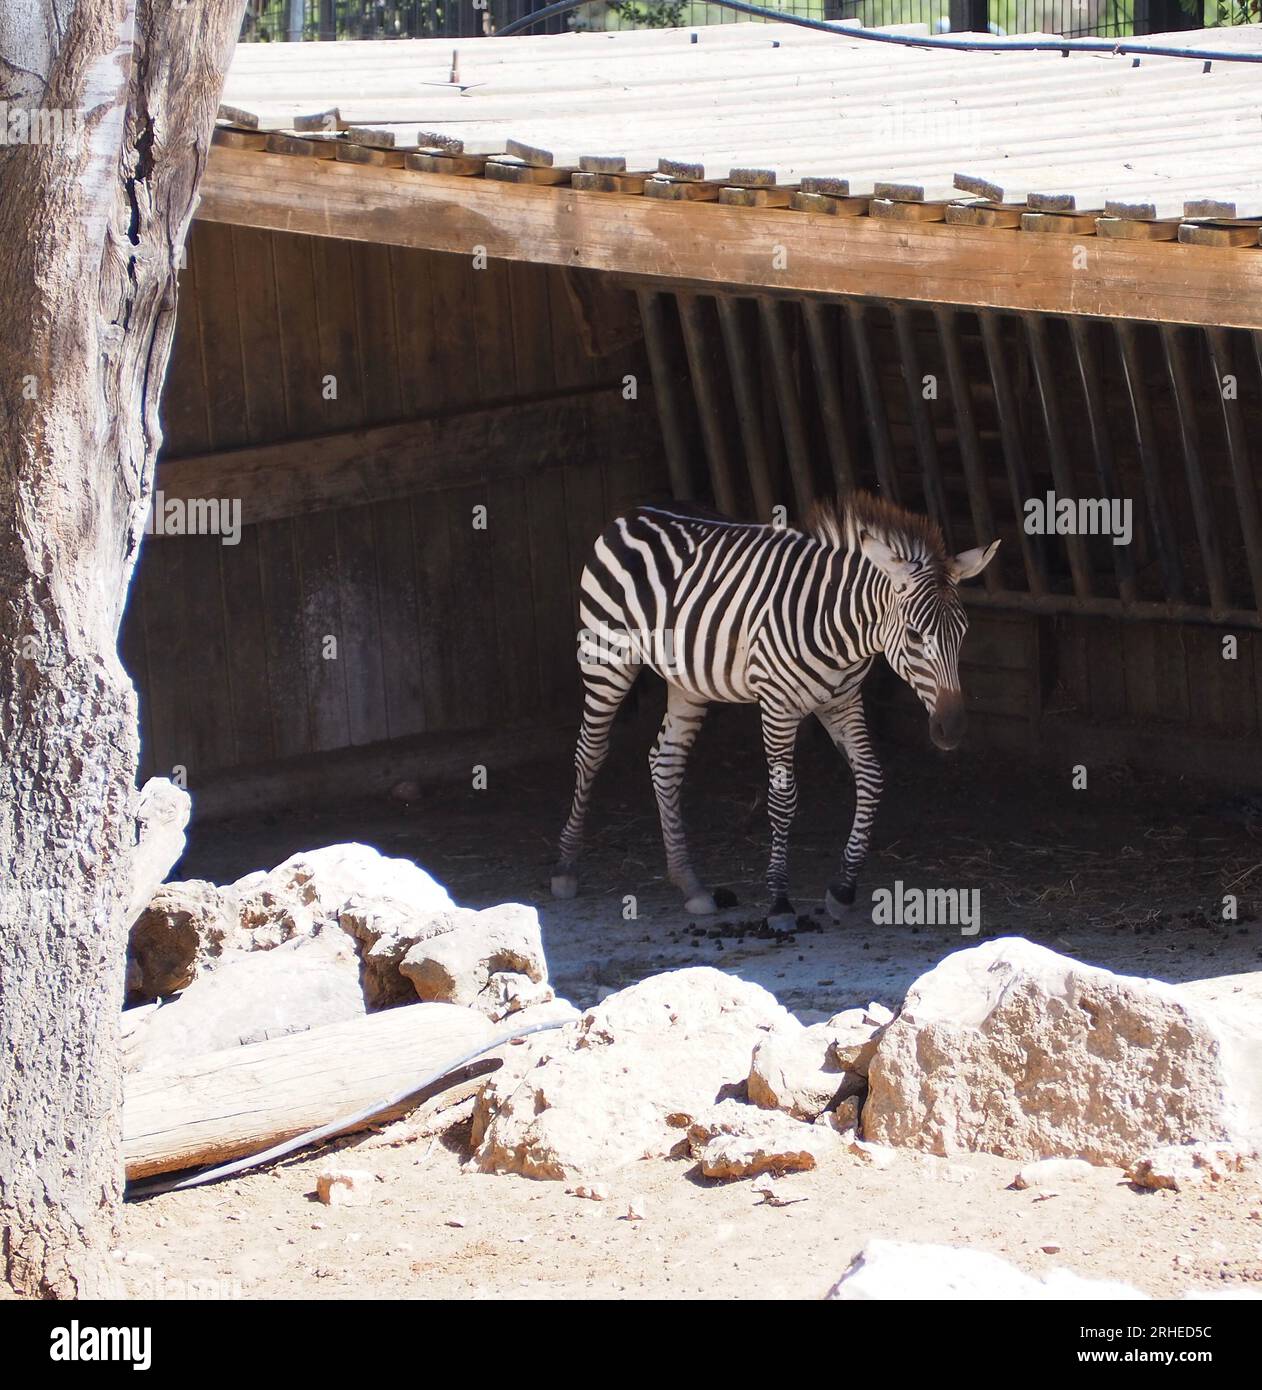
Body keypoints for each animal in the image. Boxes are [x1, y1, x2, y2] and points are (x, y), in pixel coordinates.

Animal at [551, 492, 999, 931]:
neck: (839, 628)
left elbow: (871, 778)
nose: (951, 729)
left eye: (963, 633)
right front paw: (780, 901)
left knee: (665, 762)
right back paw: (566, 868)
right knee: (590, 752)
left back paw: (690, 884)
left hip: (685, 679)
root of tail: (633, 511)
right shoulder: (778, 705)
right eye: (913, 635)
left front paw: (842, 889)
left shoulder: (842, 702)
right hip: (605, 655)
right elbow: (783, 797)